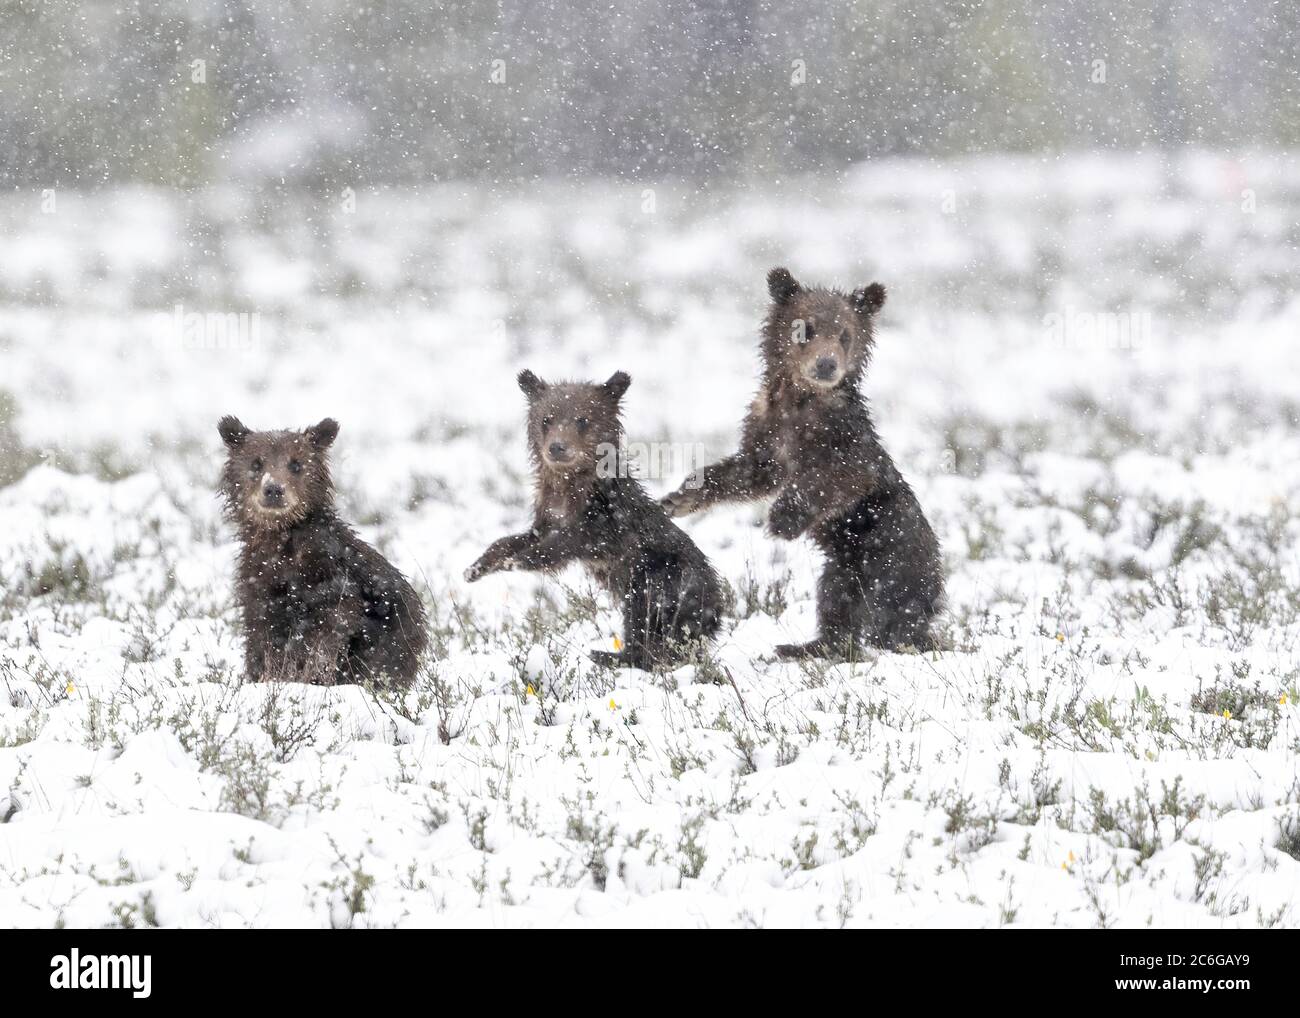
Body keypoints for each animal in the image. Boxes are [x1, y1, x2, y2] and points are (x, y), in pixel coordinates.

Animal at [218, 415, 428, 687]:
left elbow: (331, 625)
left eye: (296, 464)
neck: (281, 540)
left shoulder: (330, 575)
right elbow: (261, 634)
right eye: (256, 463)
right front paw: (266, 675)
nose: (273, 489)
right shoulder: (258, 583)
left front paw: (311, 673)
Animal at [465, 370, 724, 670]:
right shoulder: (548, 516)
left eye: (582, 419)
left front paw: (519, 560)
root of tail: (718, 607)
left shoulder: (604, 523)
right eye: (546, 419)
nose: (557, 447)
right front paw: (478, 567)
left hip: (664, 578)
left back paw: (610, 655)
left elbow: (563, 546)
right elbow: (514, 540)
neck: (570, 490)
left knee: (644, 617)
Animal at [661, 267, 943, 660]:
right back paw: (803, 645)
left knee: (875, 607)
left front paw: (783, 518)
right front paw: (680, 498)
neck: (800, 401)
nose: (826, 364)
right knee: (836, 601)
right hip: (846, 562)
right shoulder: (767, 431)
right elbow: (748, 472)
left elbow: (840, 476)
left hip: (886, 554)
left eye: (845, 334)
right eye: (805, 328)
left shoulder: (844, 439)